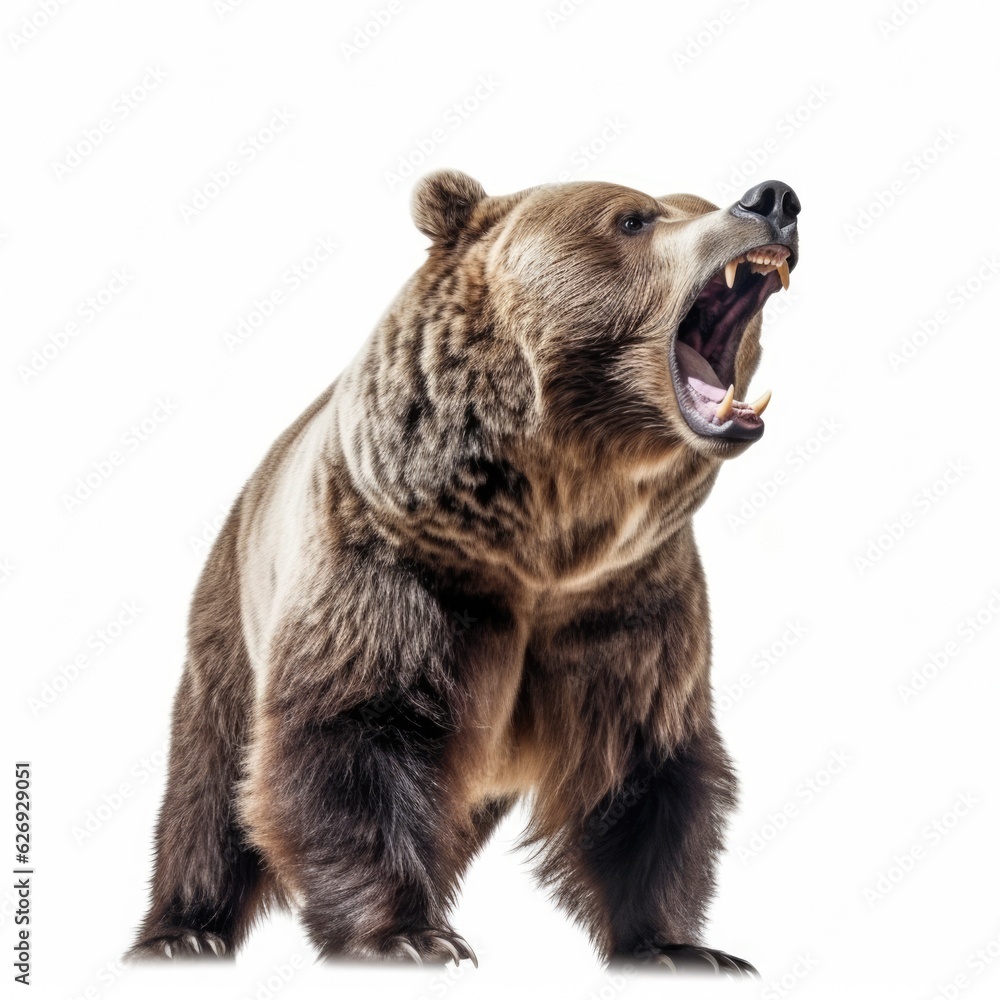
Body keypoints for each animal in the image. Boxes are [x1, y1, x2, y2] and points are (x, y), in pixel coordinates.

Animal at [127, 170, 800, 976]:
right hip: (232, 621)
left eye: (696, 202)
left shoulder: (630, 601)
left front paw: (678, 946)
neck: (544, 534)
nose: (772, 200)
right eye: (634, 218)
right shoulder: (398, 572)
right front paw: (407, 935)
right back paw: (183, 930)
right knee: (212, 786)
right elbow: (354, 732)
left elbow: (643, 765)